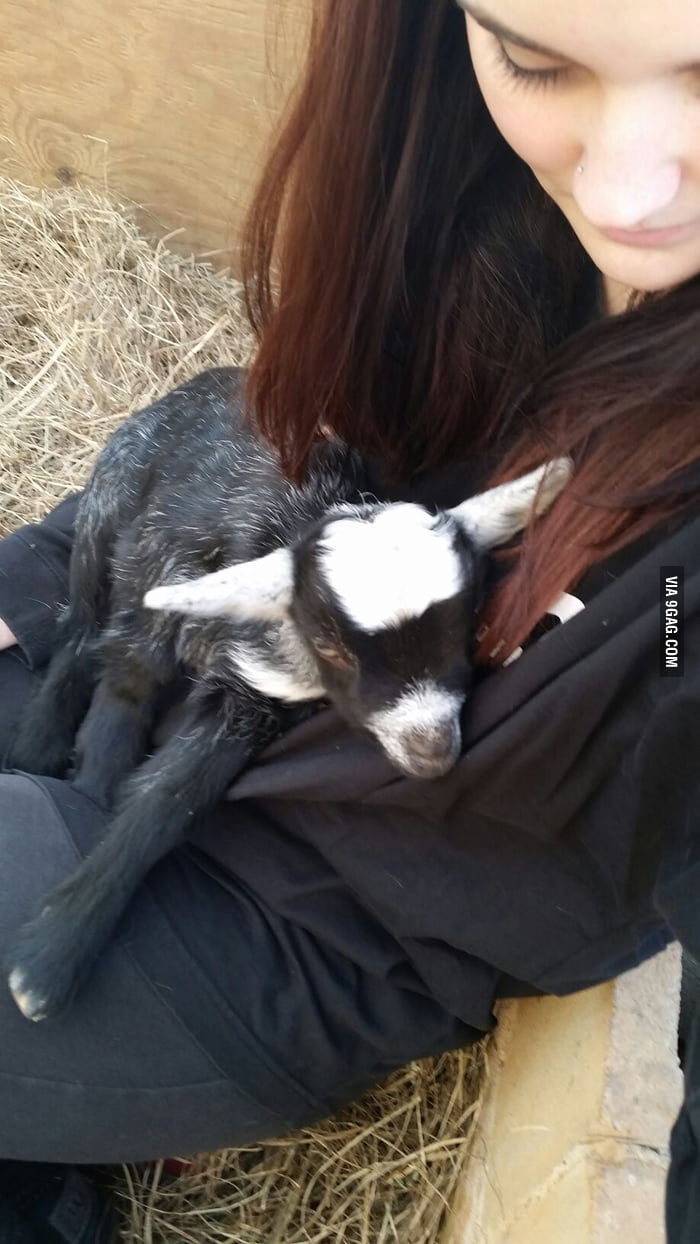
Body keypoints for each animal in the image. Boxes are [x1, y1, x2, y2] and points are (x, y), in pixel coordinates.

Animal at [4, 367, 570, 1021]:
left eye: (470, 632)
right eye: (335, 648)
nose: (432, 753)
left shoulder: (252, 702)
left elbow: (174, 794)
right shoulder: (154, 584)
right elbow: (136, 730)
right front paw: (53, 955)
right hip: (108, 507)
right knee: (78, 627)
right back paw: (39, 741)